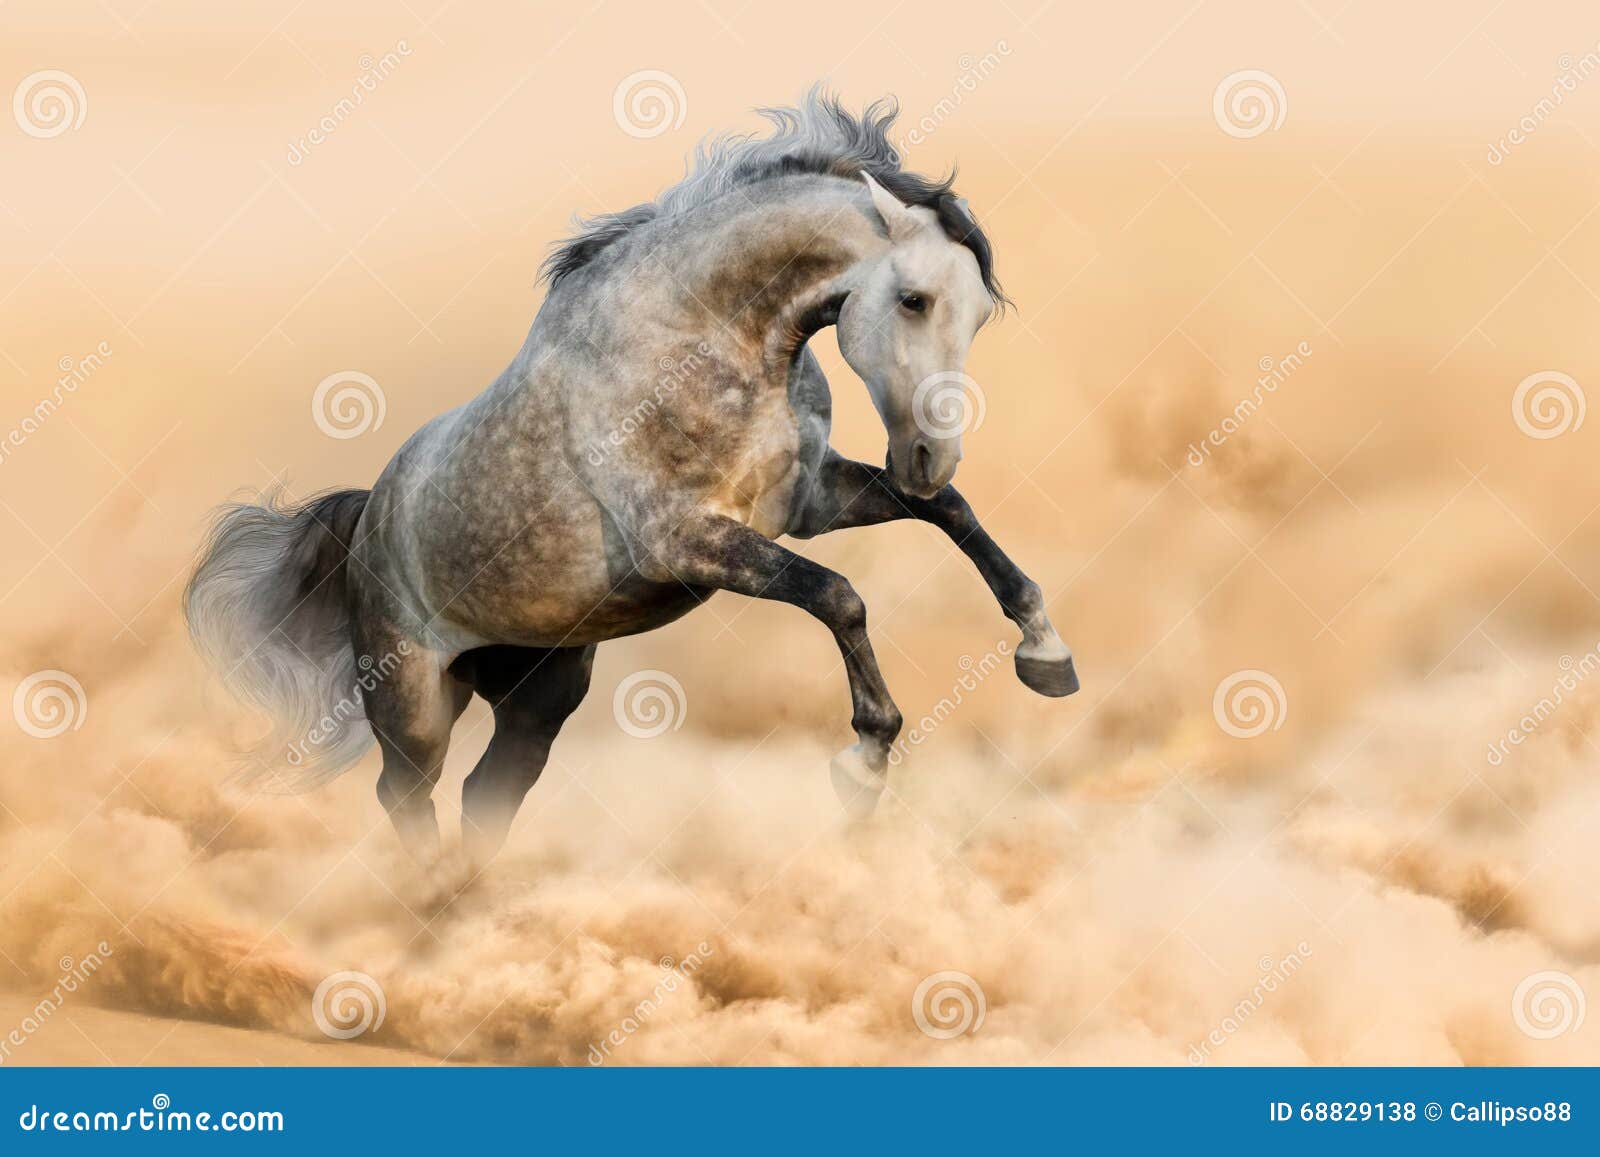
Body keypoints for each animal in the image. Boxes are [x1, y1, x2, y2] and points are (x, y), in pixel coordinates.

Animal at [184, 90, 1077, 867]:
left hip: (538, 693)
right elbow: (839, 595)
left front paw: (1046, 654)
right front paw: (861, 764)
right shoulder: (686, 542)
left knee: (486, 793)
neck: (704, 340)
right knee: (405, 795)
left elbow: (953, 518)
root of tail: (369, 518)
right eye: (915, 299)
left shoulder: (808, 502)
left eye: (978, 312)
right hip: (414, 705)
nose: (926, 456)